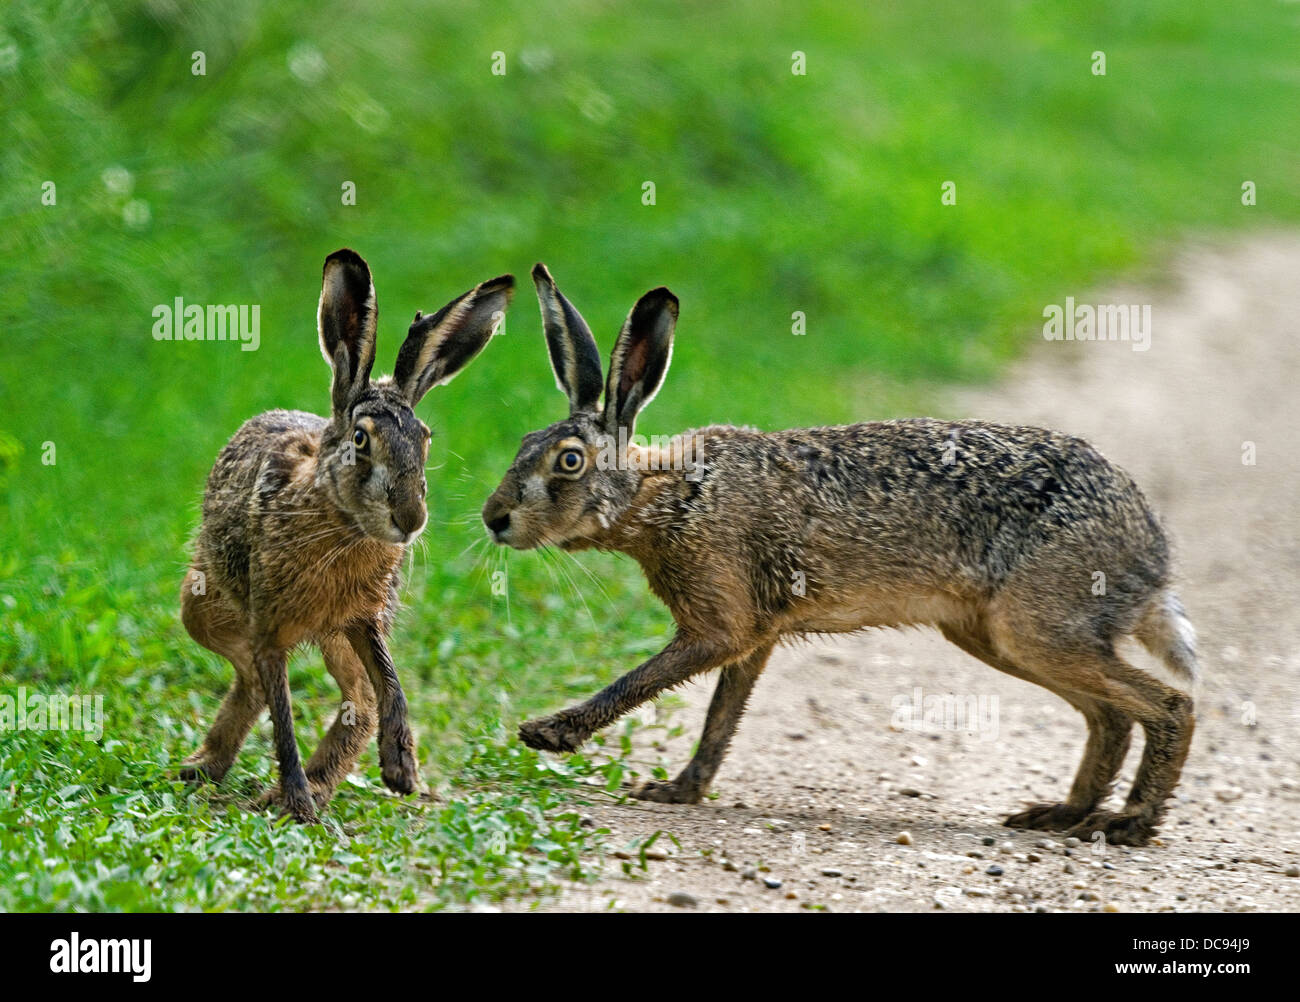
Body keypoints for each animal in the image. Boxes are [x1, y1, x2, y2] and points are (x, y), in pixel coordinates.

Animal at [180, 248, 513, 822]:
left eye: (425, 439)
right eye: (361, 439)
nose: (410, 518)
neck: (342, 525)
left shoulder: (364, 616)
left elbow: (389, 683)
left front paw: (400, 769)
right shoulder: (270, 626)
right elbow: (283, 717)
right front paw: (298, 804)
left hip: (331, 635)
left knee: (356, 694)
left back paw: (309, 783)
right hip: (202, 605)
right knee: (252, 679)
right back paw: (207, 770)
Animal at [480, 263, 1197, 846]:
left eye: (568, 462)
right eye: (522, 444)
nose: (495, 519)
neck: (665, 496)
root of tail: (1152, 553)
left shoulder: (722, 625)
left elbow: (641, 681)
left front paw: (550, 734)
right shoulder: (757, 635)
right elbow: (721, 717)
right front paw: (679, 790)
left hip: (1038, 625)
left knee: (1168, 706)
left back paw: (1129, 824)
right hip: (995, 636)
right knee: (1112, 717)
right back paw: (1063, 814)